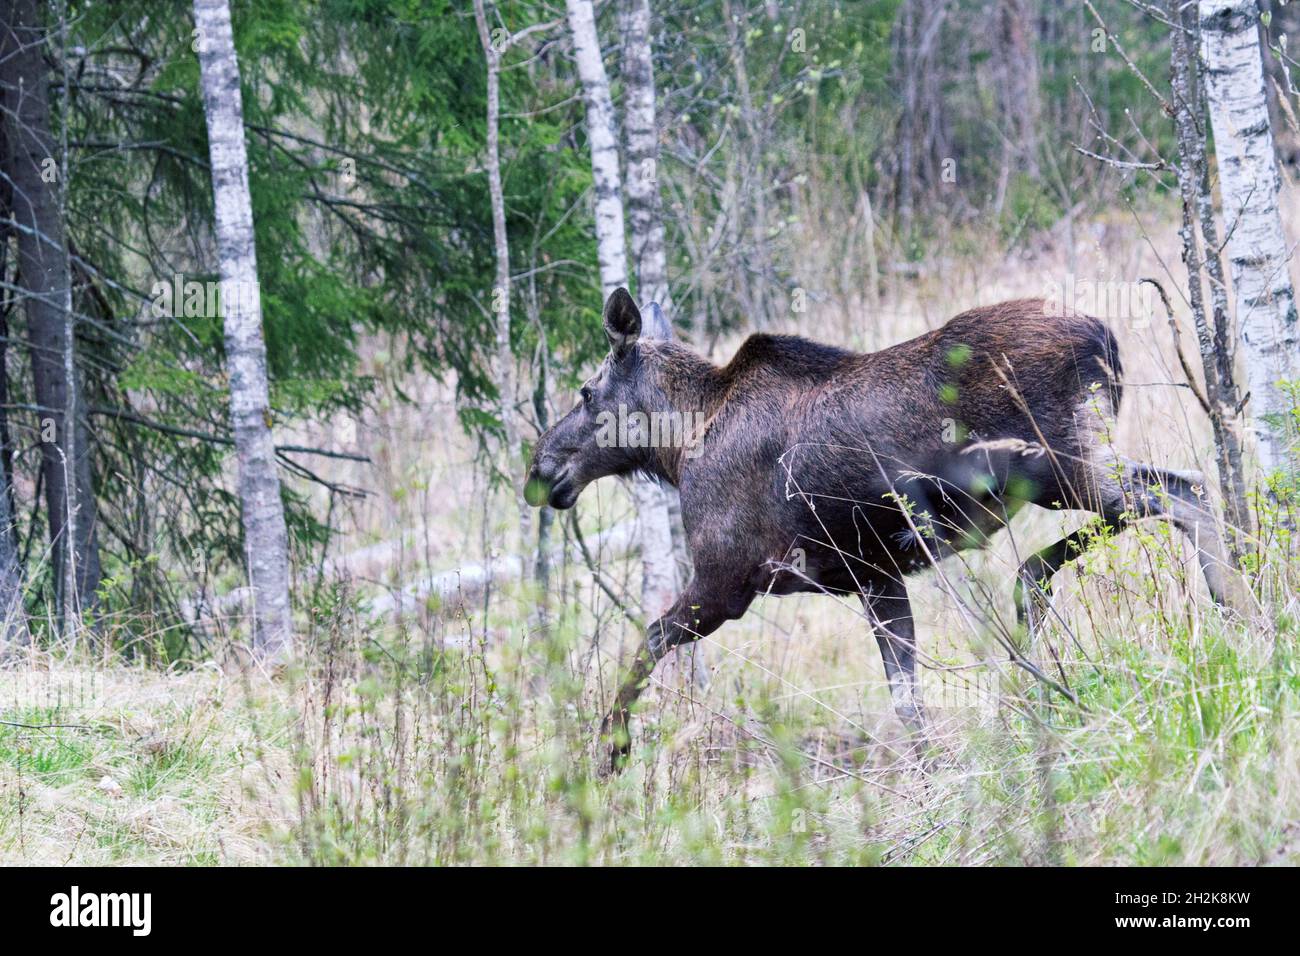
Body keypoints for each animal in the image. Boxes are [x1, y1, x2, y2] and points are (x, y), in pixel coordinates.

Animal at [525, 288, 1232, 774]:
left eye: (586, 392)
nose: (540, 469)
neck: (678, 449)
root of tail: (1105, 336)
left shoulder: (727, 581)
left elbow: (647, 638)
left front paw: (610, 753)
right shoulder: (877, 577)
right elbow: (907, 697)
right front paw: (934, 778)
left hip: (1062, 466)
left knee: (1181, 493)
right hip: (1069, 468)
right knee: (1179, 492)